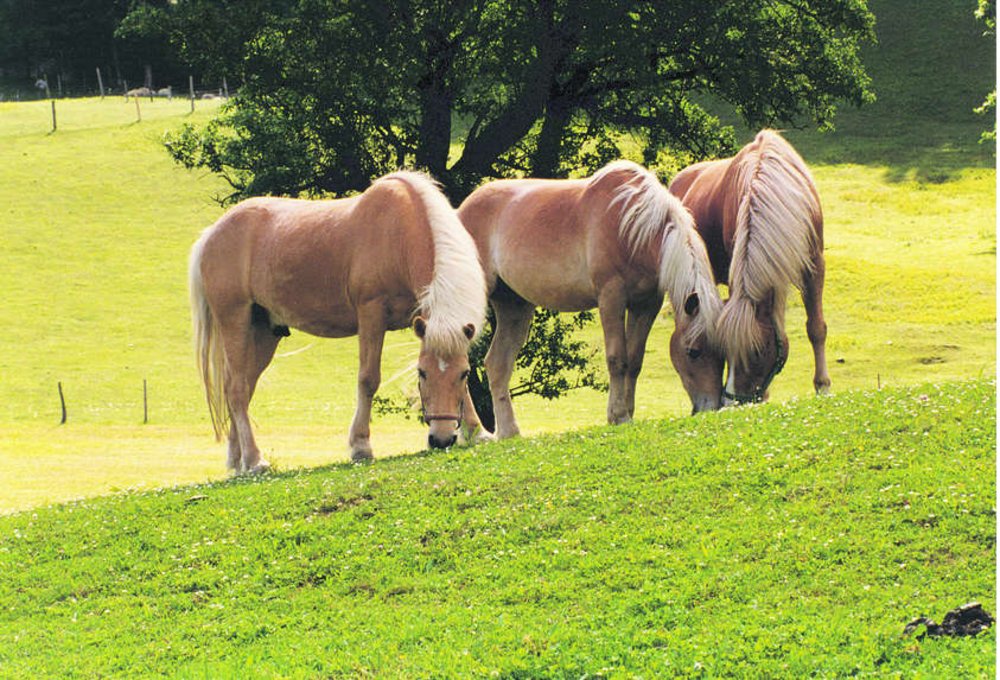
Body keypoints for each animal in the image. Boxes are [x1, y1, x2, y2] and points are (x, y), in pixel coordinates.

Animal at [188, 171, 487, 472]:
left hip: (263, 332)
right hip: (234, 320)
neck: (398, 232)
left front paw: (479, 432)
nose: (442, 438)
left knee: (241, 387)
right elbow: (368, 379)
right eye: (421, 373)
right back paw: (254, 459)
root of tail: (211, 234)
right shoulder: (371, 314)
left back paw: (237, 461)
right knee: (237, 390)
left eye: (463, 373)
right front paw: (361, 446)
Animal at [457, 160, 725, 439]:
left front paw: (628, 412)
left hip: (514, 307)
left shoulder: (646, 304)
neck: (630, 222)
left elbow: (635, 360)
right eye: (693, 352)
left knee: (497, 364)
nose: (712, 407)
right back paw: (474, 433)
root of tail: (463, 210)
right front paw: (618, 415)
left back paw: (508, 431)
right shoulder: (611, 296)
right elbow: (618, 358)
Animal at [668, 129, 829, 405]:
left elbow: (816, 328)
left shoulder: (814, 264)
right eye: (725, 350)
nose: (731, 404)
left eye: (756, 351)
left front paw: (823, 386)